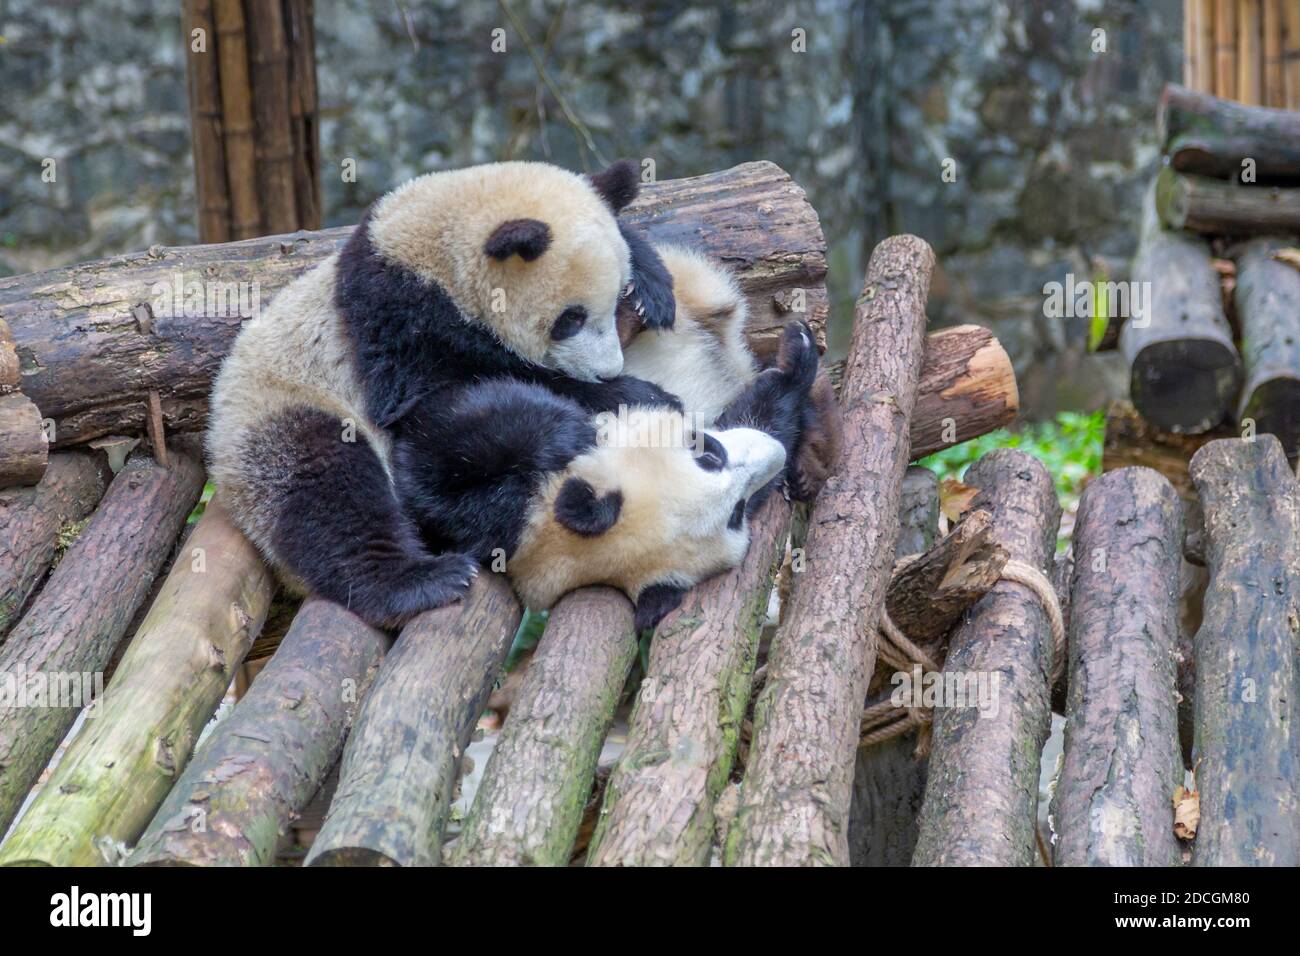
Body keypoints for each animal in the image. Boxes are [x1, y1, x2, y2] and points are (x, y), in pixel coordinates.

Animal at [207, 159, 678, 629]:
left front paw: (651, 287)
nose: (607, 371)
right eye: (571, 319)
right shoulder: (398, 320)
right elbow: (440, 404)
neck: (433, 259)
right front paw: (606, 407)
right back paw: (420, 581)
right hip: (280, 414)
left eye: (613, 301)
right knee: (327, 493)